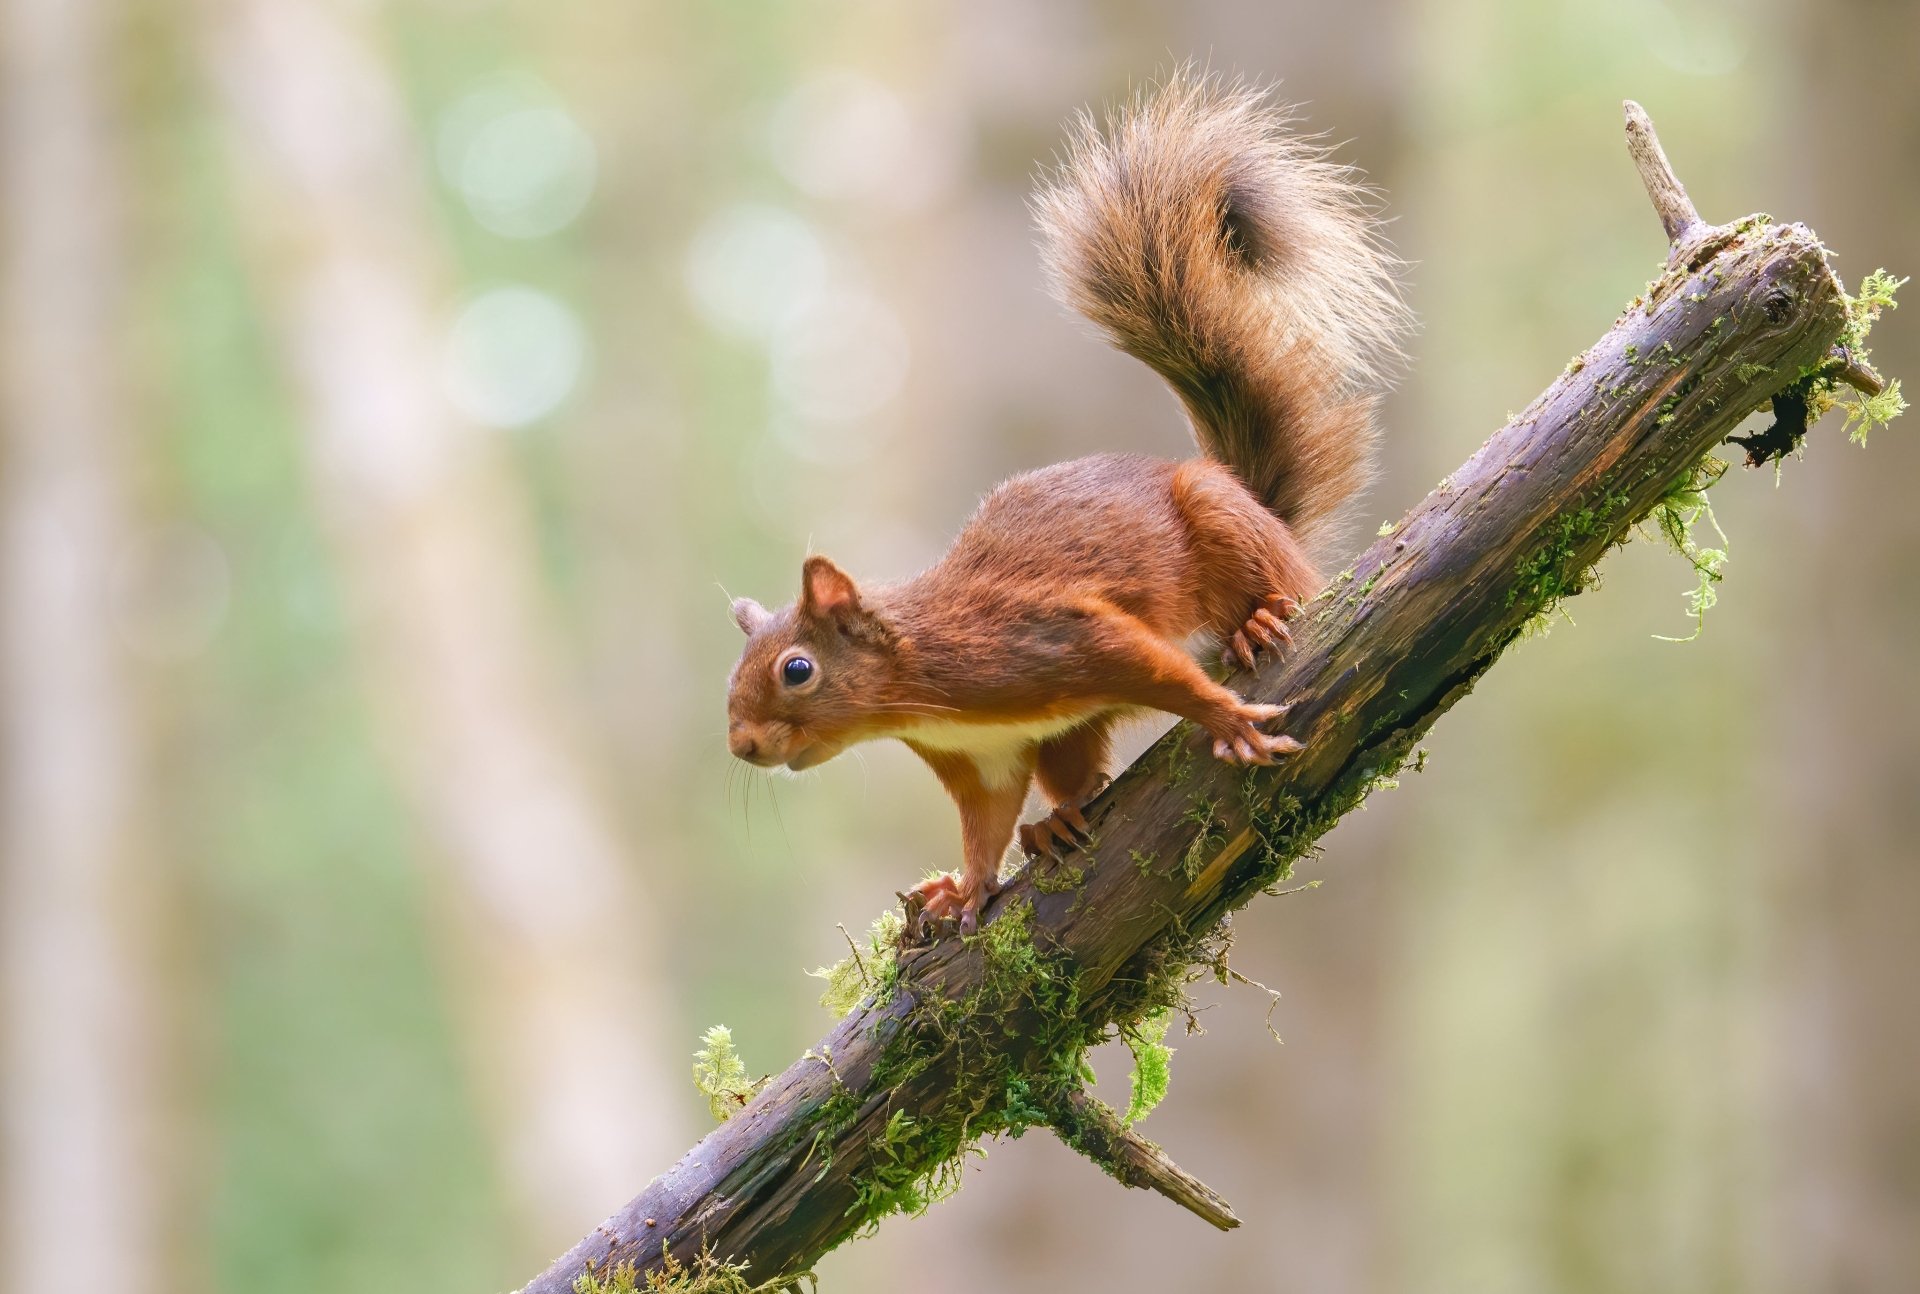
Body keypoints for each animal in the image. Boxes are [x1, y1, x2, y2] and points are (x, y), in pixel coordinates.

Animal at [725, 71, 1412, 935]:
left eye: (798, 669)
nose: (742, 746)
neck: (921, 684)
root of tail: (1254, 501)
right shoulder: (982, 762)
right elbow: (984, 826)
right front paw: (967, 888)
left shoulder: (1056, 638)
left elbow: (1158, 669)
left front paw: (1226, 720)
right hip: (1071, 734)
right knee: (1075, 770)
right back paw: (1056, 822)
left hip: (1224, 525)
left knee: (1269, 591)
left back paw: (1259, 622)